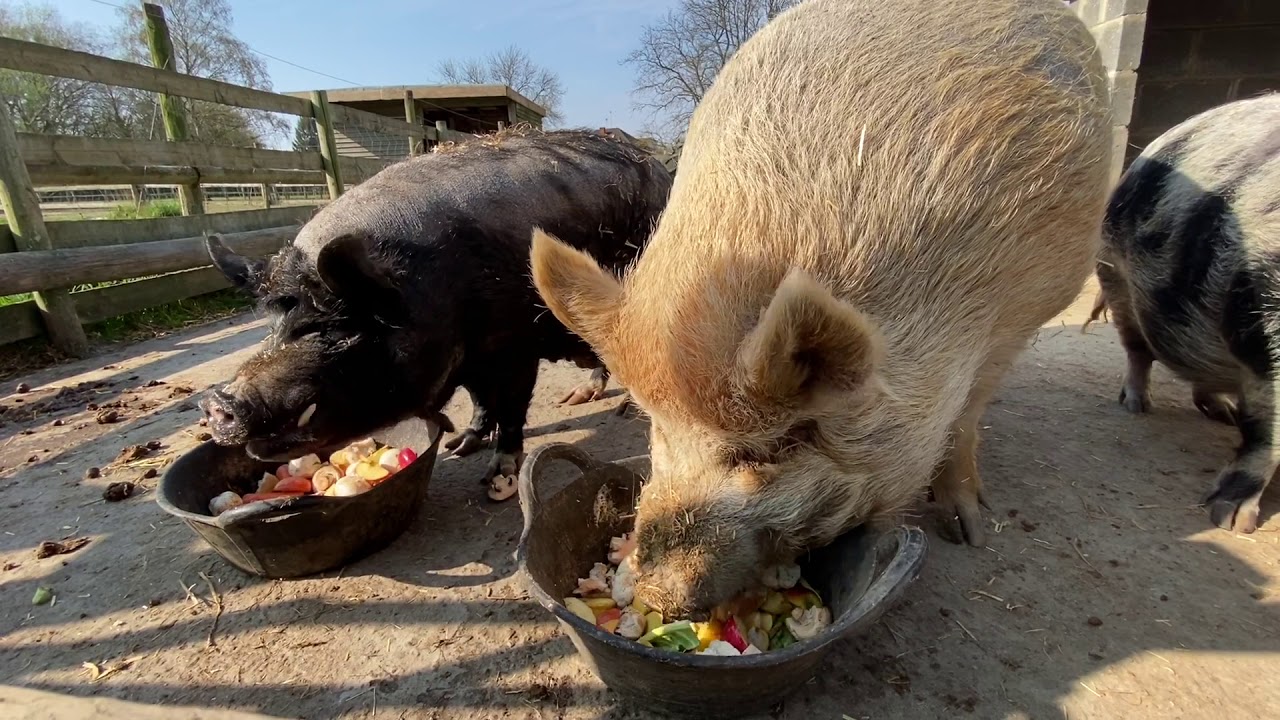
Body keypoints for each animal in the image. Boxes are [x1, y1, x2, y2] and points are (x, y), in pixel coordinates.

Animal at [200, 129, 672, 498]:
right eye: (272, 327)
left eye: (334, 330)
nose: (220, 402)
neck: (431, 284)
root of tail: (658, 165)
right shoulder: (471, 359)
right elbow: (481, 400)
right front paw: (460, 445)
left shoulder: (515, 347)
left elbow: (512, 406)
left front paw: (497, 476)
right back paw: (577, 399)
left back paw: (615, 407)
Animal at [531, 0, 1111, 615]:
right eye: (658, 426)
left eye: (769, 451)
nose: (653, 591)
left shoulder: (1016, 317)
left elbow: (967, 418)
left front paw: (969, 532)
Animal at [1088, 93, 1280, 534]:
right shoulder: (1261, 322)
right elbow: (1269, 432)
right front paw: (1231, 521)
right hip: (1116, 276)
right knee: (1139, 350)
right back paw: (1138, 405)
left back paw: (1223, 414)